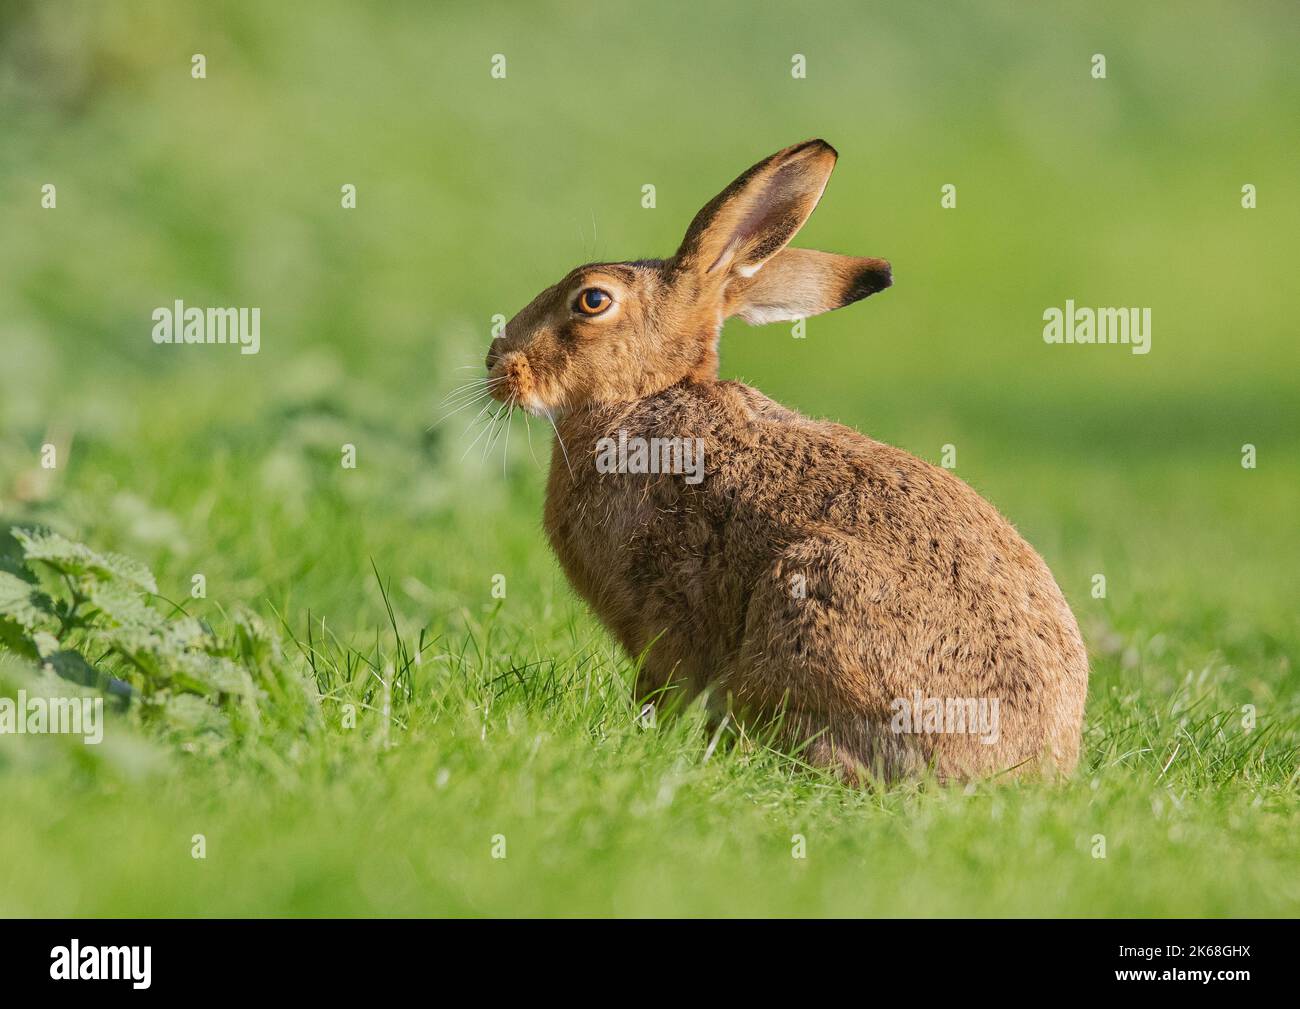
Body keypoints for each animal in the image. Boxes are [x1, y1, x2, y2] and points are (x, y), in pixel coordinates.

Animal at [485, 139, 1087, 783]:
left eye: (592, 300)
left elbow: (663, 691)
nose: (497, 359)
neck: (643, 396)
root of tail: (1029, 770)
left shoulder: (668, 617)